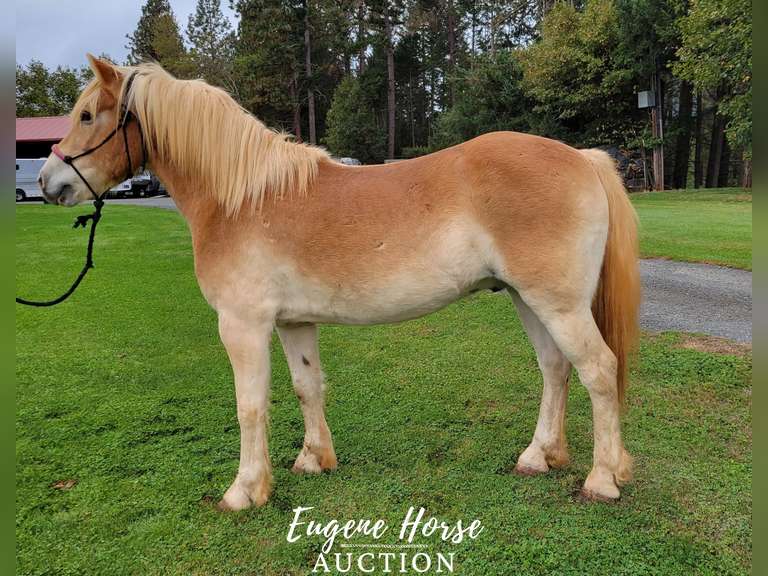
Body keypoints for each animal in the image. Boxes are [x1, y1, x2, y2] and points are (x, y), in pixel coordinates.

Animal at [38, 55, 640, 510]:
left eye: (87, 114)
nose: (47, 181)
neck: (241, 200)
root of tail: (582, 158)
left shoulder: (242, 325)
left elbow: (249, 404)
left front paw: (245, 492)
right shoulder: (294, 322)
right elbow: (307, 386)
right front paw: (313, 460)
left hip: (557, 304)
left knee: (599, 371)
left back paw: (602, 480)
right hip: (527, 300)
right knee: (556, 369)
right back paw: (540, 457)